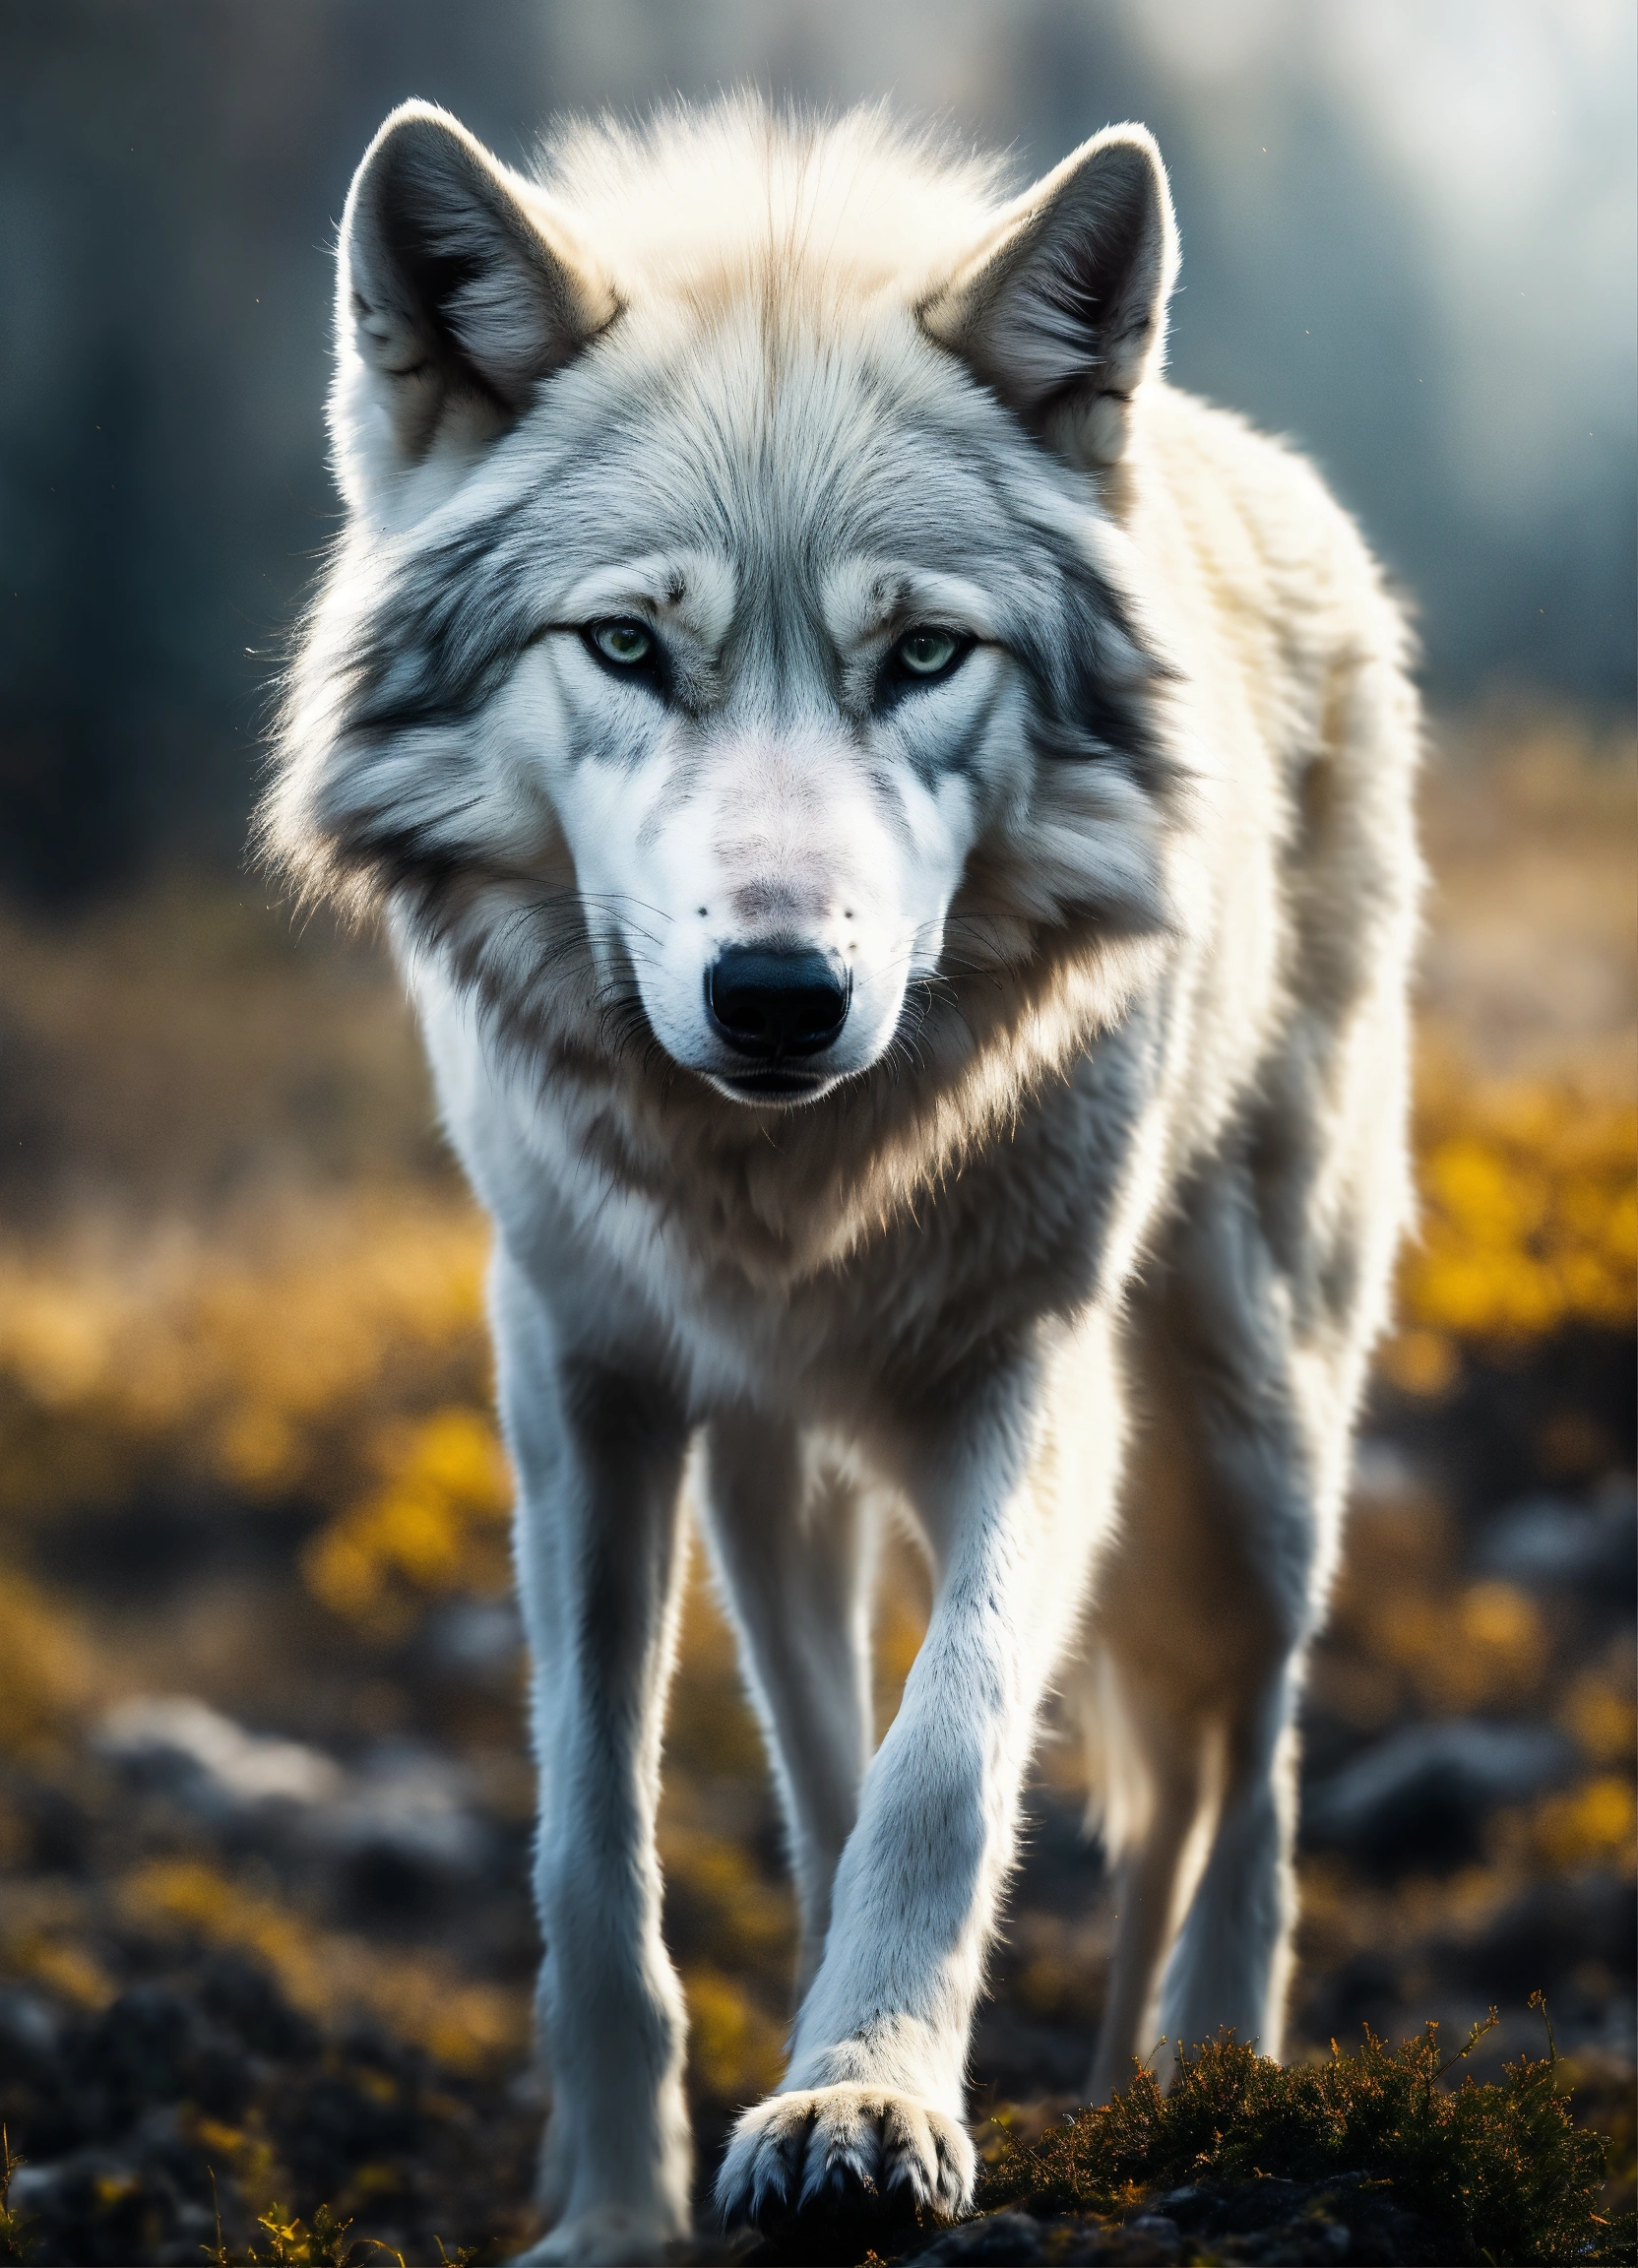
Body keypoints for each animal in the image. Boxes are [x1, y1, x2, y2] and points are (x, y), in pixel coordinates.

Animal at [261, 93, 1421, 2262]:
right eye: (629, 645)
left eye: (926, 655)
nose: (781, 992)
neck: (786, 1178)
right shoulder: (579, 1380)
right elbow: (595, 1846)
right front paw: (617, 2209)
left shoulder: (1029, 1375)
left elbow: (948, 1758)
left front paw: (866, 2107)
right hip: (774, 1475)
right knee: (842, 1757)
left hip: (1242, 1432)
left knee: (1234, 1773)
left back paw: (1204, 2085)